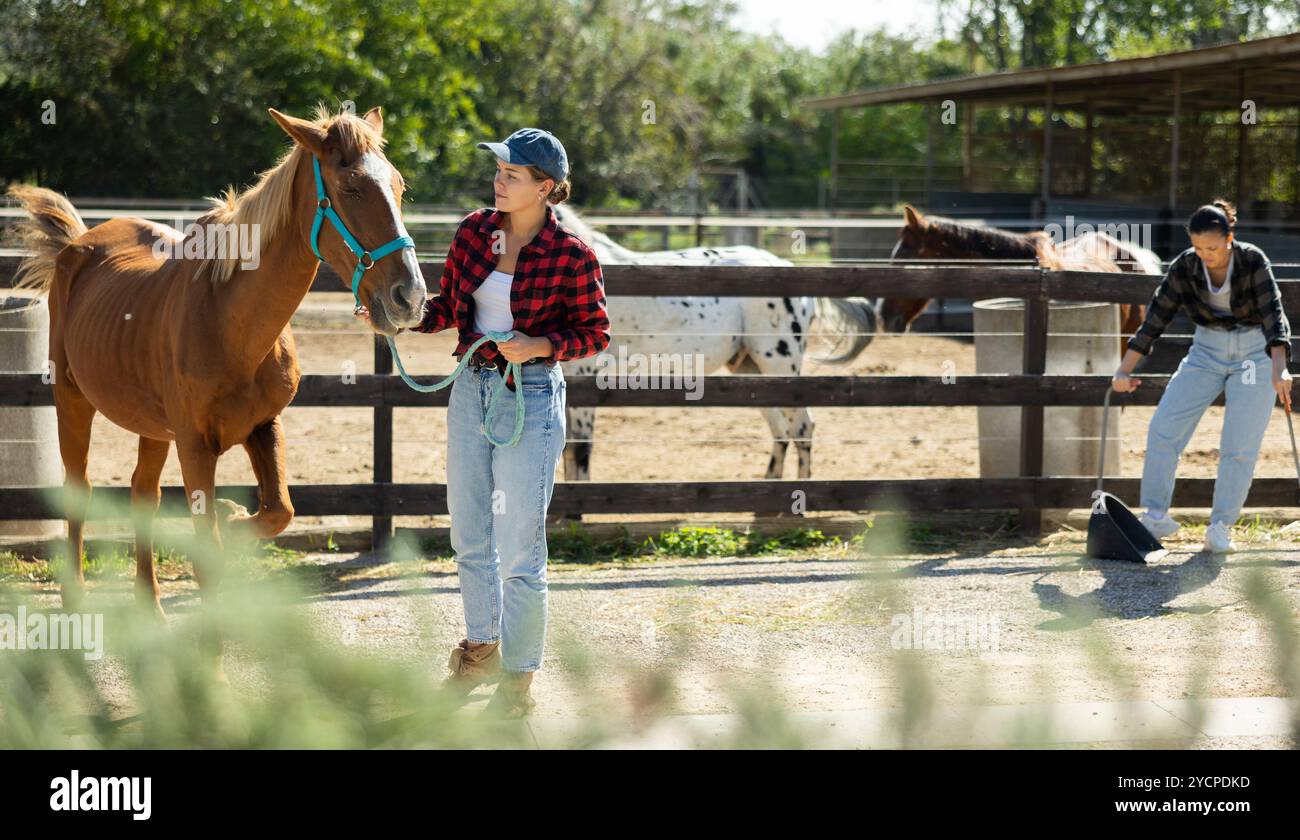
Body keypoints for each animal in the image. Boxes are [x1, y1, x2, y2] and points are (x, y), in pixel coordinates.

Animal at [7, 105, 425, 630]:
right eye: (350, 188)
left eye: (400, 185)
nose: (410, 296)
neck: (230, 321)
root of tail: (80, 242)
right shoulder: (195, 445)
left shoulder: (265, 426)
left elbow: (278, 511)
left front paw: (231, 516)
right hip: (73, 401)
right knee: (78, 489)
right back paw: (76, 600)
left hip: (153, 428)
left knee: (143, 492)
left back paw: (152, 606)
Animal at [549, 204, 881, 483]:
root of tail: (785, 265)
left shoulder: (586, 375)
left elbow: (579, 448)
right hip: (753, 370)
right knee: (780, 429)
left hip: (780, 365)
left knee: (801, 427)